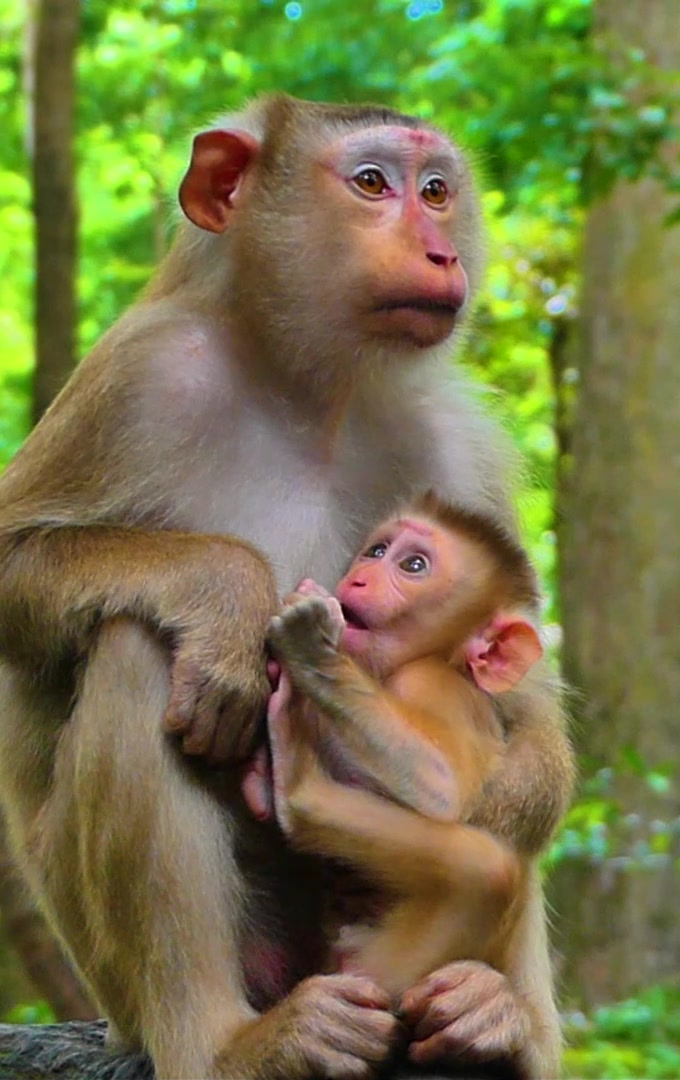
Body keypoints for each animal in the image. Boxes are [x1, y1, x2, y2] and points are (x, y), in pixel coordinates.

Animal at [0, 94, 573, 1080]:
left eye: (436, 190)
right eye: (372, 183)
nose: (442, 251)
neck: (309, 387)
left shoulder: (454, 435)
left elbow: (515, 679)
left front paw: (502, 801)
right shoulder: (139, 375)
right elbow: (12, 559)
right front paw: (228, 590)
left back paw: (498, 1022)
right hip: (128, 971)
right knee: (138, 647)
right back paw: (225, 1041)